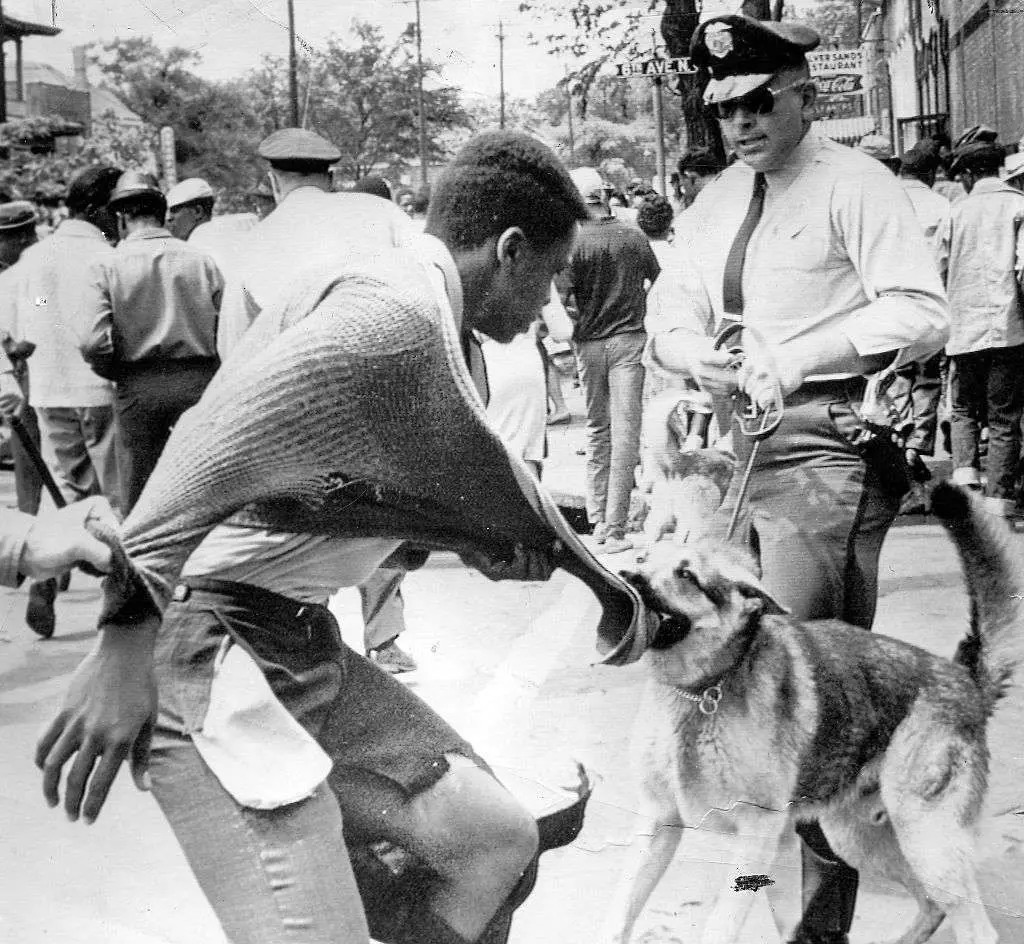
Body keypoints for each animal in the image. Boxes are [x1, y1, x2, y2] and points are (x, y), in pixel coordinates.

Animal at [606, 485, 1015, 941]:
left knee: (975, 927)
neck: (704, 690)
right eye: (644, 560)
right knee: (932, 907)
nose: (629, 577)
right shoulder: (657, 824)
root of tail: (964, 678)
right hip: (858, 839)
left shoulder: (757, 835)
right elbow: (619, 912)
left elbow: (721, 925)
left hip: (927, 841)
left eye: (687, 576)